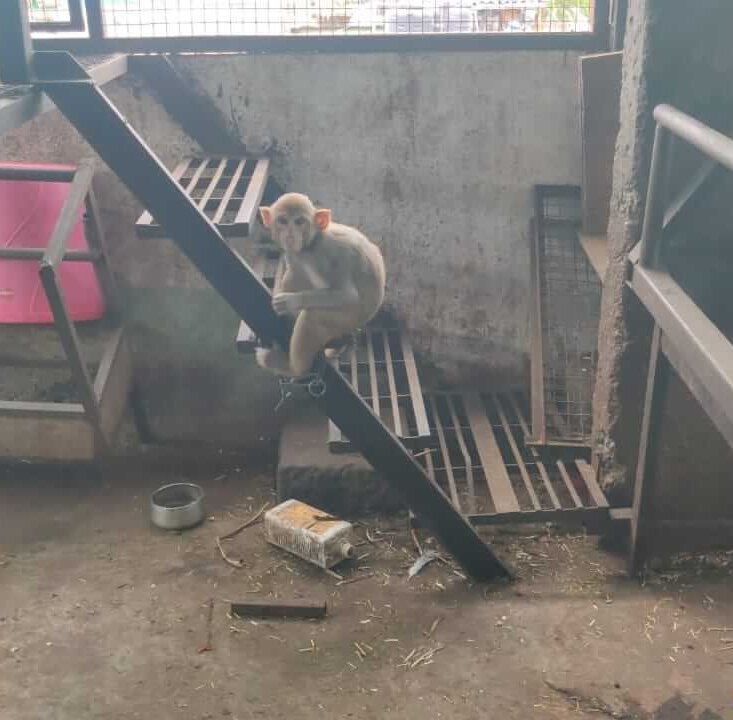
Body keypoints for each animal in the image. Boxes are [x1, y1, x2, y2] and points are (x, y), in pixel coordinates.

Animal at [255, 192, 385, 379]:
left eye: (299, 222)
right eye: (282, 221)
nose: (290, 234)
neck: (312, 243)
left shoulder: (326, 254)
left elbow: (347, 295)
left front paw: (291, 301)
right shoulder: (297, 253)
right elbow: (296, 273)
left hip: (346, 318)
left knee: (312, 317)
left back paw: (295, 369)